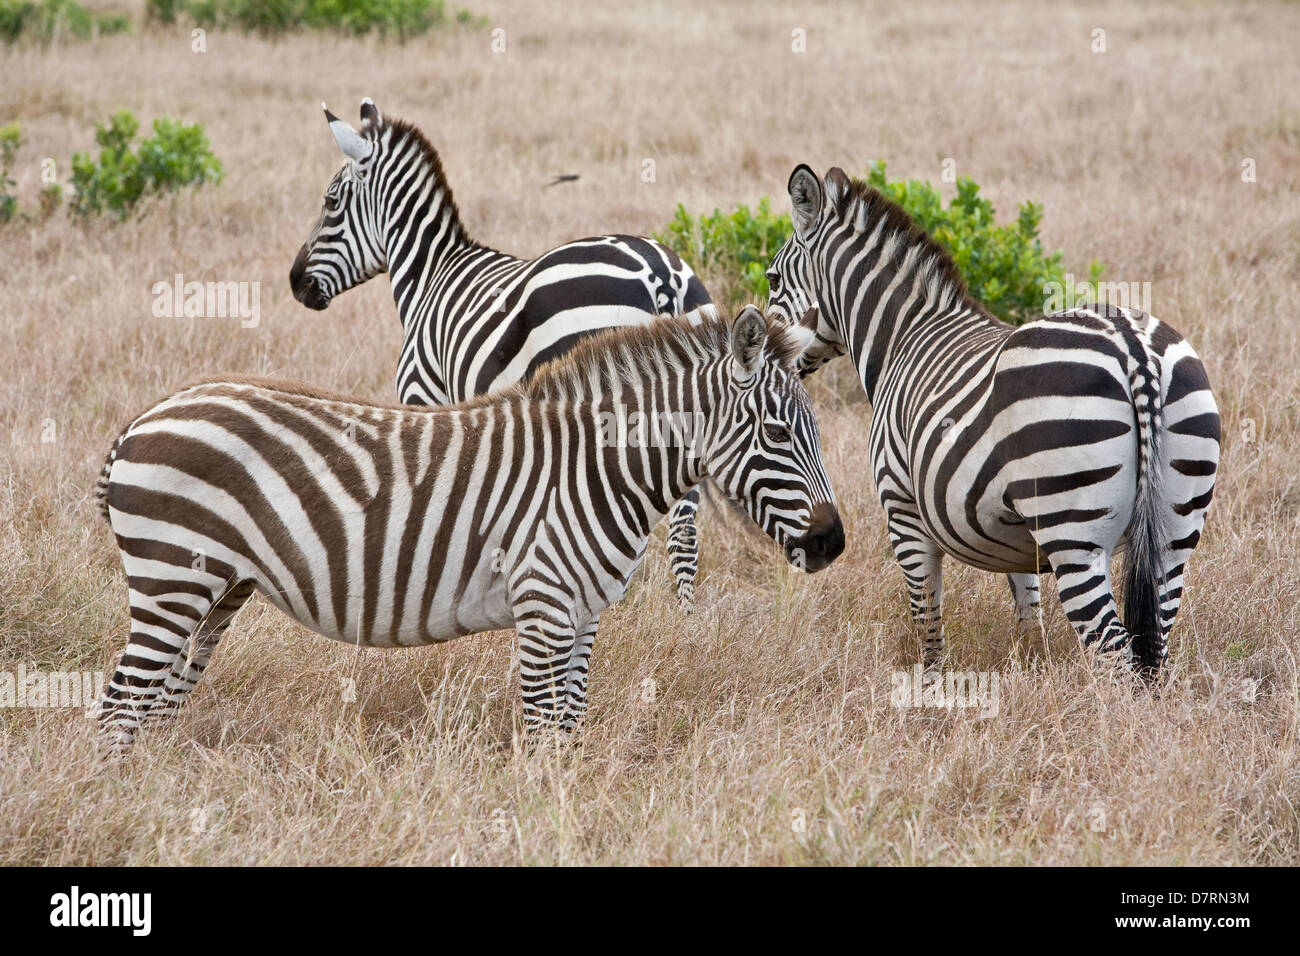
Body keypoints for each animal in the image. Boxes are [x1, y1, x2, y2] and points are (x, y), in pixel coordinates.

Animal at [94, 307, 844, 756]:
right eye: (778, 433)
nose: (832, 543)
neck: (594, 470)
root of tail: (146, 416)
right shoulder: (543, 608)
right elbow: (541, 734)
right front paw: (544, 817)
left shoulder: (585, 617)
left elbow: (569, 730)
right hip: (170, 581)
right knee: (116, 710)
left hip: (217, 593)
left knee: (154, 707)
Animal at [288, 98, 714, 610]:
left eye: (331, 202)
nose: (295, 282)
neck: (430, 274)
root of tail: (658, 273)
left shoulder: (423, 396)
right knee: (683, 530)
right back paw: (685, 615)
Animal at [765, 164, 1219, 681]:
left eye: (772, 277)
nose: (762, 355)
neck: (904, 337)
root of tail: (1133, 346)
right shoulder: (1018, 535)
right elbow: (1028, 619)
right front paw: (1032, 675)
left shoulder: (903, 512)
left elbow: (927, 625)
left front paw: (931, 691)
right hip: (1176, 530)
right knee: (1154, 649)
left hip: (1074, 534)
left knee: (1116, 654)